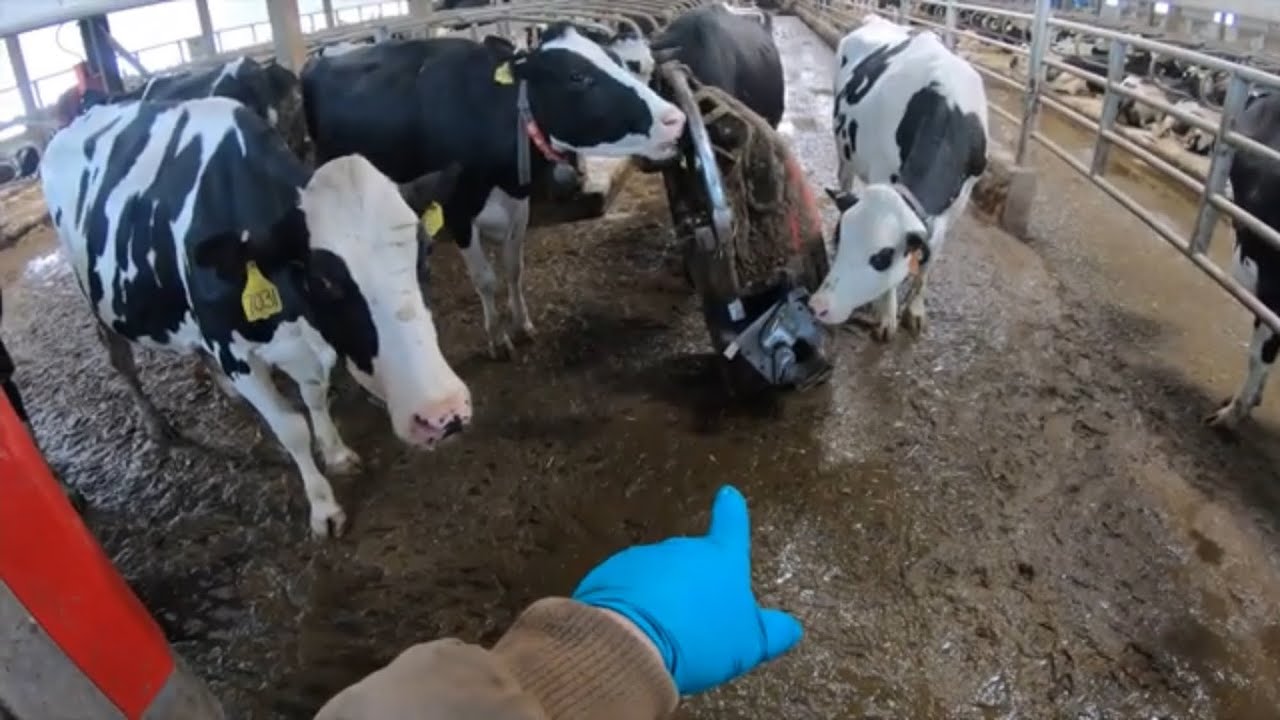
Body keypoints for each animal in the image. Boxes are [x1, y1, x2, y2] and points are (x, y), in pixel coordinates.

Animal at [40, 97, 473, 537]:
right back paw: (155, 422)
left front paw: (336, 454)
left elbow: (315, 398)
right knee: (122, 363)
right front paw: (323, 507)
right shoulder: (236, 354)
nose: (441, 414)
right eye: (324, 281)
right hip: (94, 299)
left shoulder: (306, 346)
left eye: (425, 253)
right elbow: (292, 428)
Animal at [301, 25, 686, 359]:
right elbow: (485, 279)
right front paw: (498, 339)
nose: (676, 119)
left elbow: (514, 267)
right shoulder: (456, 208)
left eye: (619, 61)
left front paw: (523, 324)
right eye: (577, 77)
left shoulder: (518, 202)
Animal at [812, 15, 988, 340]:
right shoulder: (882, 172)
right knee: (844, 178)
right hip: (843, 147)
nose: (818, 305)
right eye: (844, 240)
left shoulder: (956, 205)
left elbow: (929, 258)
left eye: (880, 258)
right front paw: (886, 314)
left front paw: (915, 311)